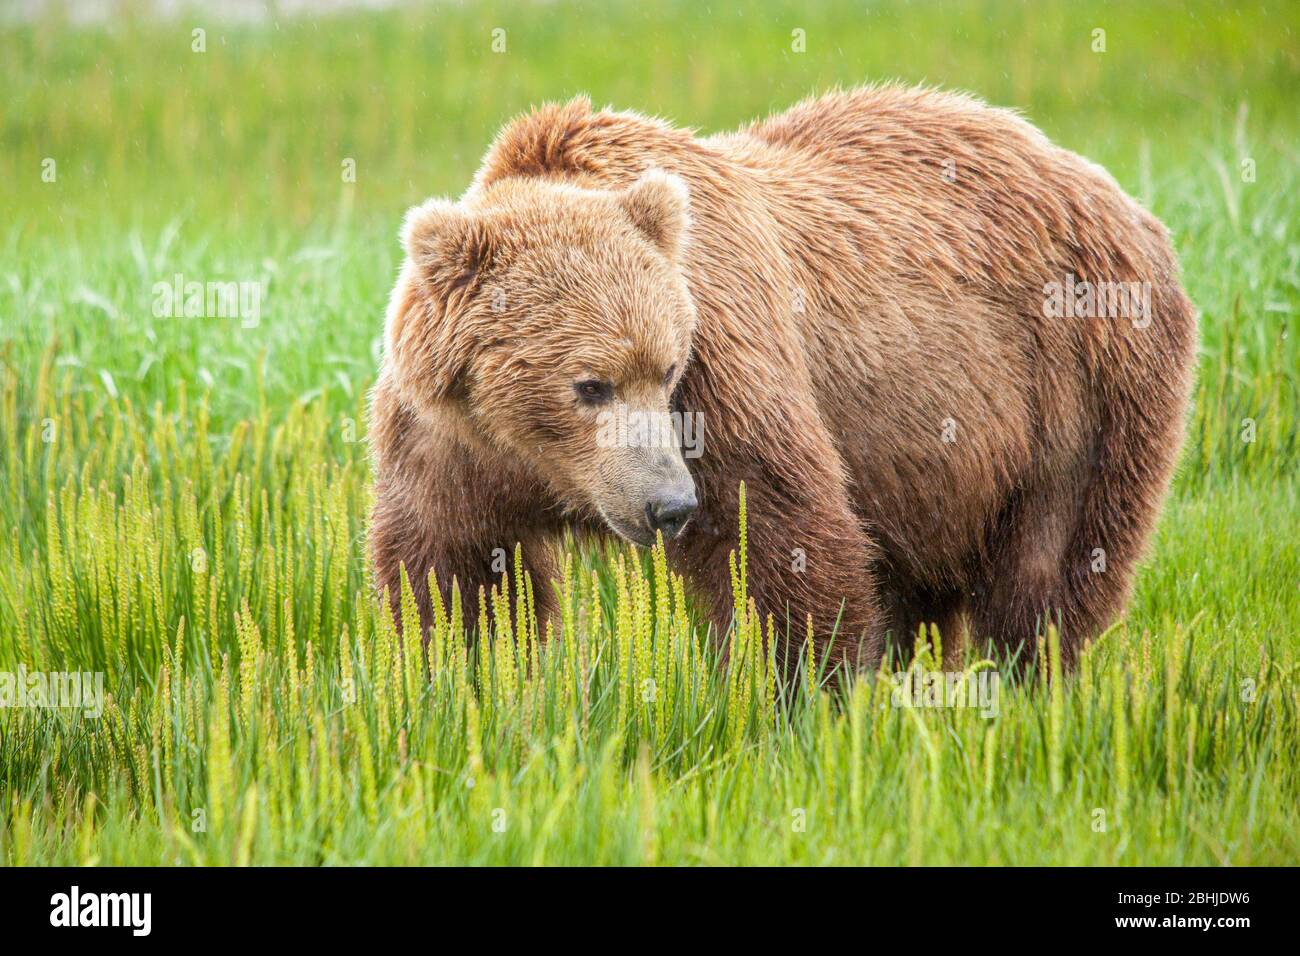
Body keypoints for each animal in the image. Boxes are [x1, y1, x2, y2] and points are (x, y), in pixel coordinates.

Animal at [368, 85, 1196, 674]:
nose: (669, 504)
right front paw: (462, 680)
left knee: (1049, 564)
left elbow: (777, 534)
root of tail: (1122, 201)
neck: (540, 457)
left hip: (1078, 379)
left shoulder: (725, 359)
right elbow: (455, 570)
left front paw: (793, 695)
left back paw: (1030, 680)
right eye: (590, 384)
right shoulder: (449, 436)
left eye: (666, 369)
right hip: (937, 465)